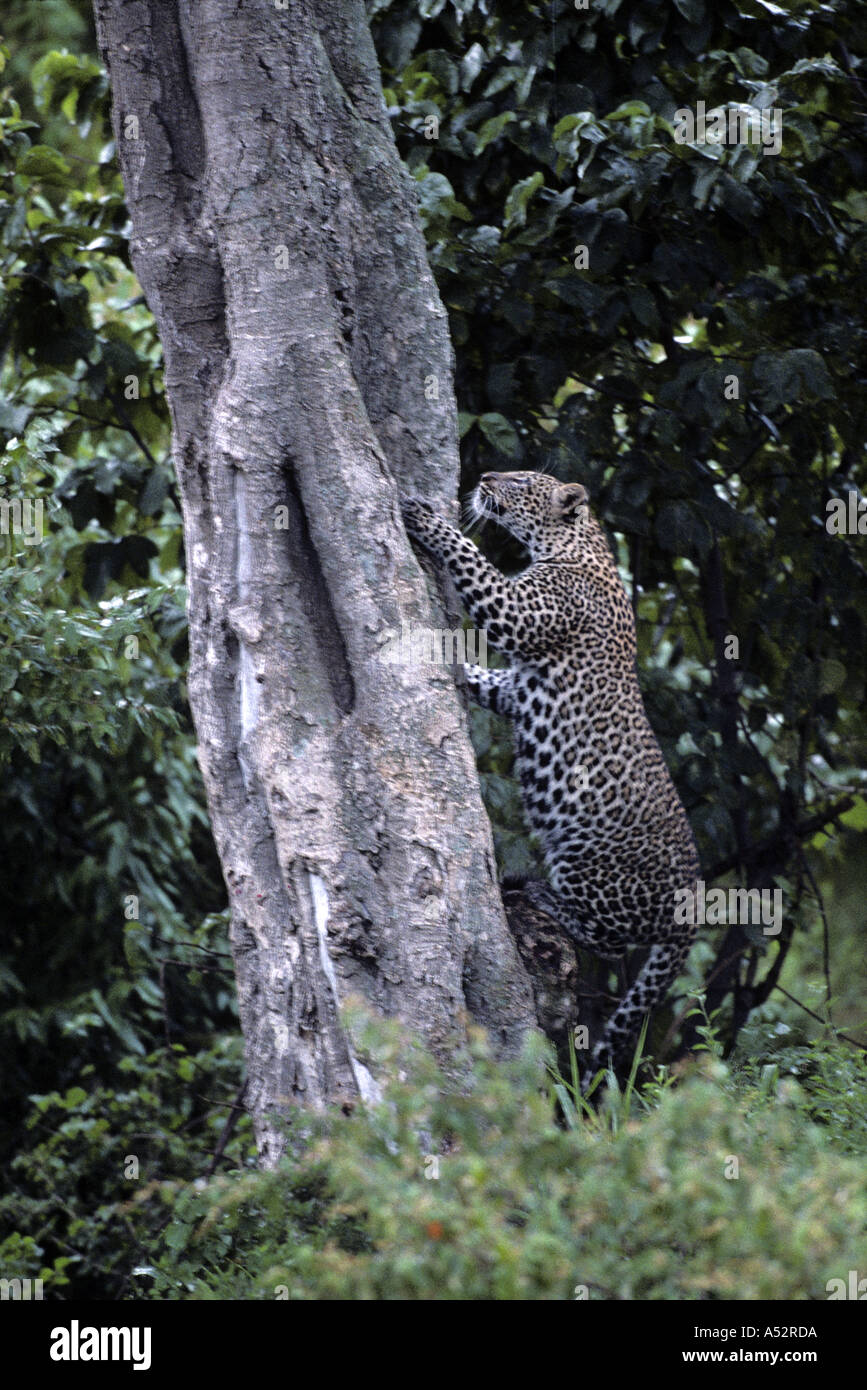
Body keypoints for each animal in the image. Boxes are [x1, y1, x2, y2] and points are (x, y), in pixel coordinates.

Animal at [401, 471, 700, 1085]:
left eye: (519, 481)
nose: (484, 476)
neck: (576, 545)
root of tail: (693, 905)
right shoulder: (516, 688)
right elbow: (485, 679)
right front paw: (454, 665)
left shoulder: (519, 610)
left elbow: (472, 559)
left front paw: (425, 518)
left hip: (585, 860)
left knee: (607, 942)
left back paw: (537, 891)